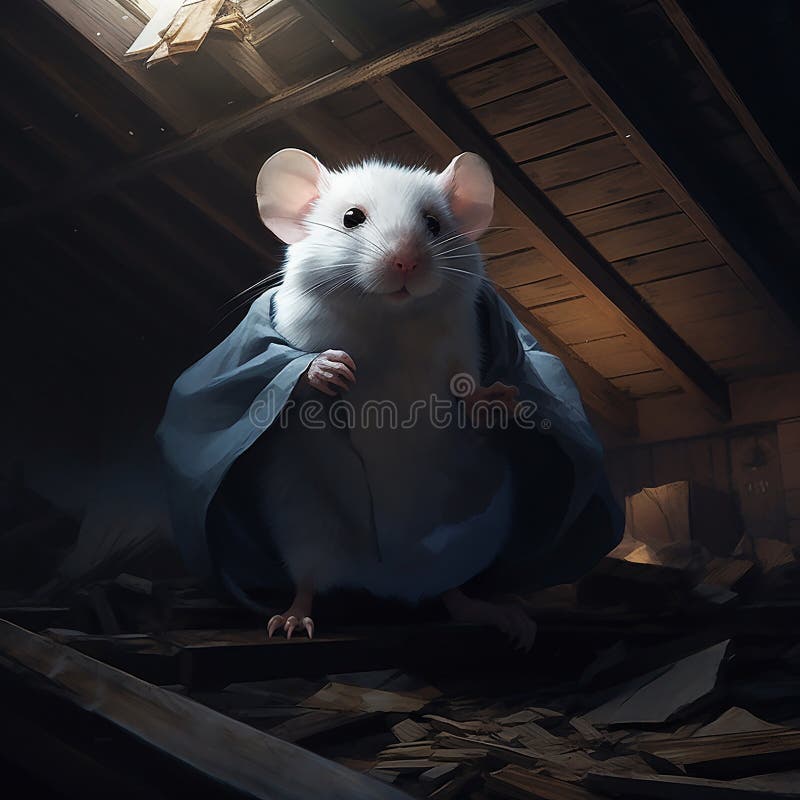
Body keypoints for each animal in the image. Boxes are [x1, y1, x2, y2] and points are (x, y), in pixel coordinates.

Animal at [251, 149, 535, 648]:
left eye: (434, 224)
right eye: (351, 218)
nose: (407, 262)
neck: (391, 318)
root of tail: (389, 580)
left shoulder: (460, 342)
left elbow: (464, 383)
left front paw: (491, 402)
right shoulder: (296, 323)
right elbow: (292, 369)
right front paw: (325, 369)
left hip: (470, 527)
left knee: (450, 588)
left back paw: (490, 609)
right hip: (303, 517)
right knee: (308, 577)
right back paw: (293, 615)